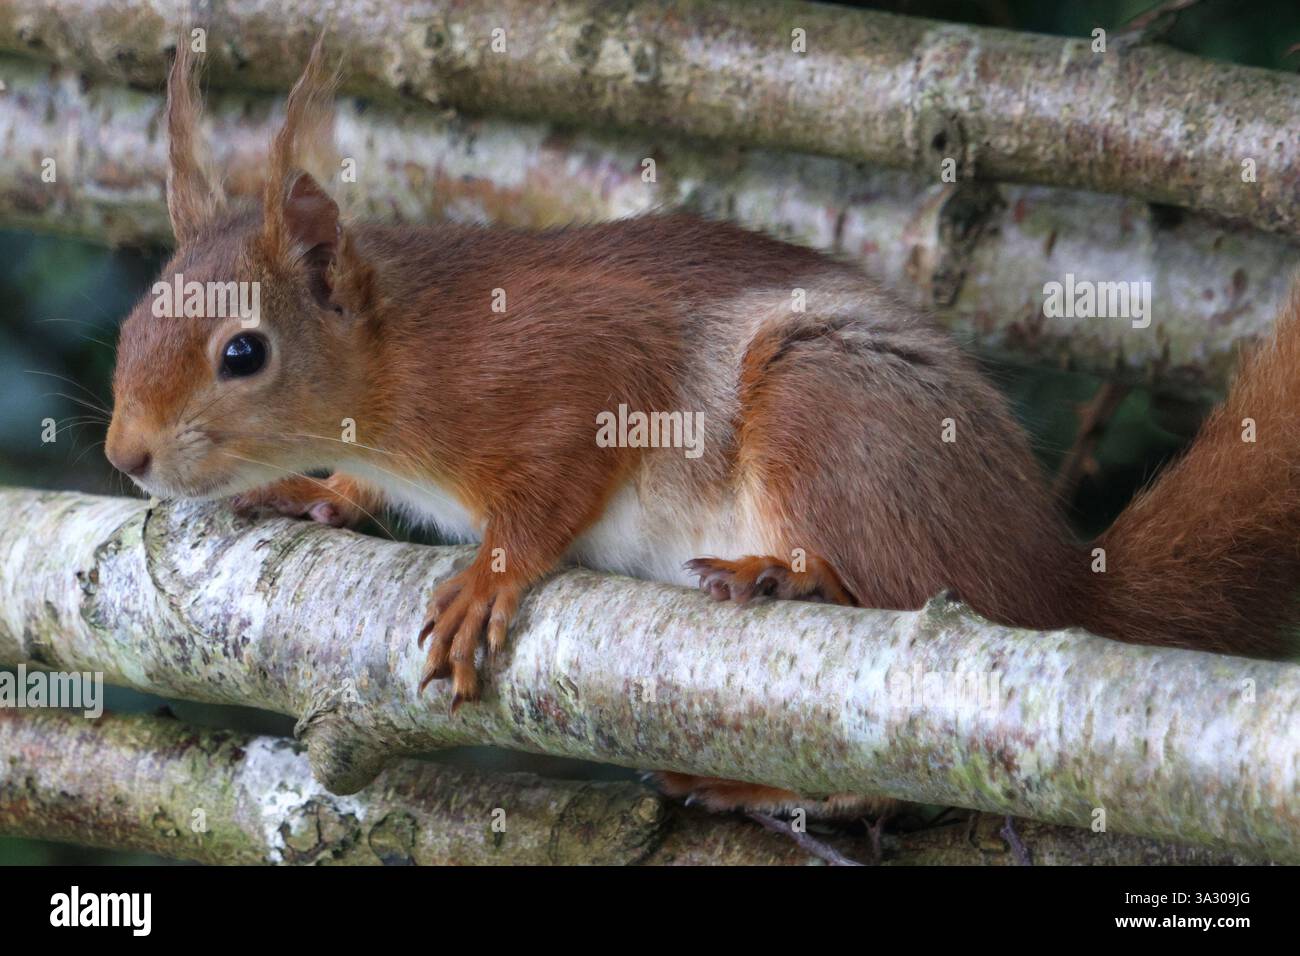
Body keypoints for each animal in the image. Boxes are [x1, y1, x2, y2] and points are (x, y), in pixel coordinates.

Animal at [106, 39, 1300, 813]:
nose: (126, 455)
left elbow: (553, 487)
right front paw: (311, 491)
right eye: (132, 316)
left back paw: (794, 577)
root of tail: (1057, 580)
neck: (402, 366)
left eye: (243, 352)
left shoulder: (576, 367)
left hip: (831, 413)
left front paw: (492, 573)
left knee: (914, 642)